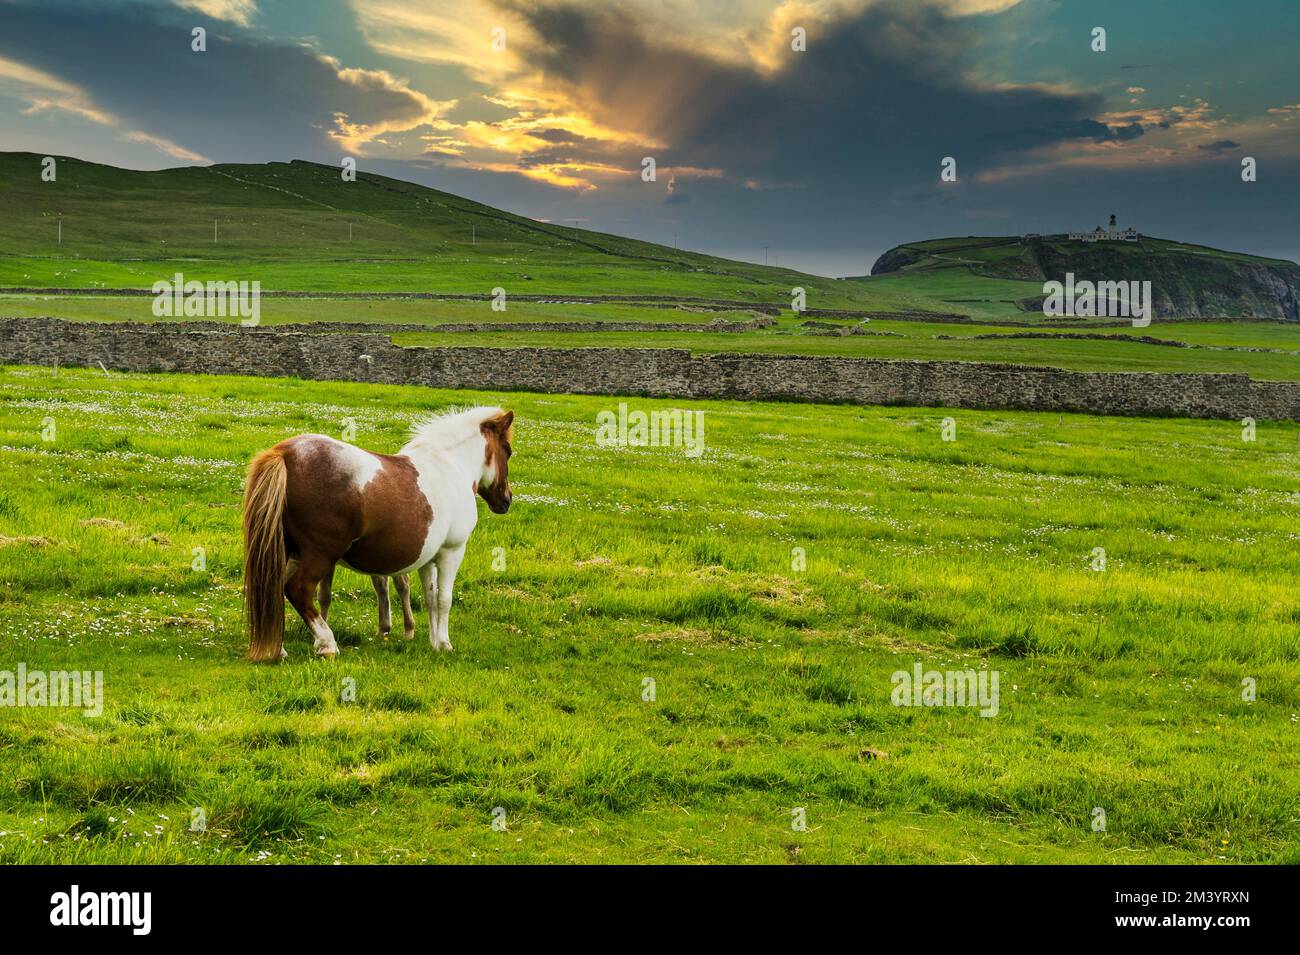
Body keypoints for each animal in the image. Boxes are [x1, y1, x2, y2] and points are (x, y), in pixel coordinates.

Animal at [242, 407, 514, 661]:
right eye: (508, 450)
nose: (506, 500)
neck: (450, 466)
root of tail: (285, 453)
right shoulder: (452, 552)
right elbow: (444, 599)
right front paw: (445, 644)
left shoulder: (428, 559)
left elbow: (431, 597)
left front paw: (434, 642)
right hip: (319, 556)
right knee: (298, 590)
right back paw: (327, 644)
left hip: (285, 552)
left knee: (274, 591)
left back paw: (279, 650)